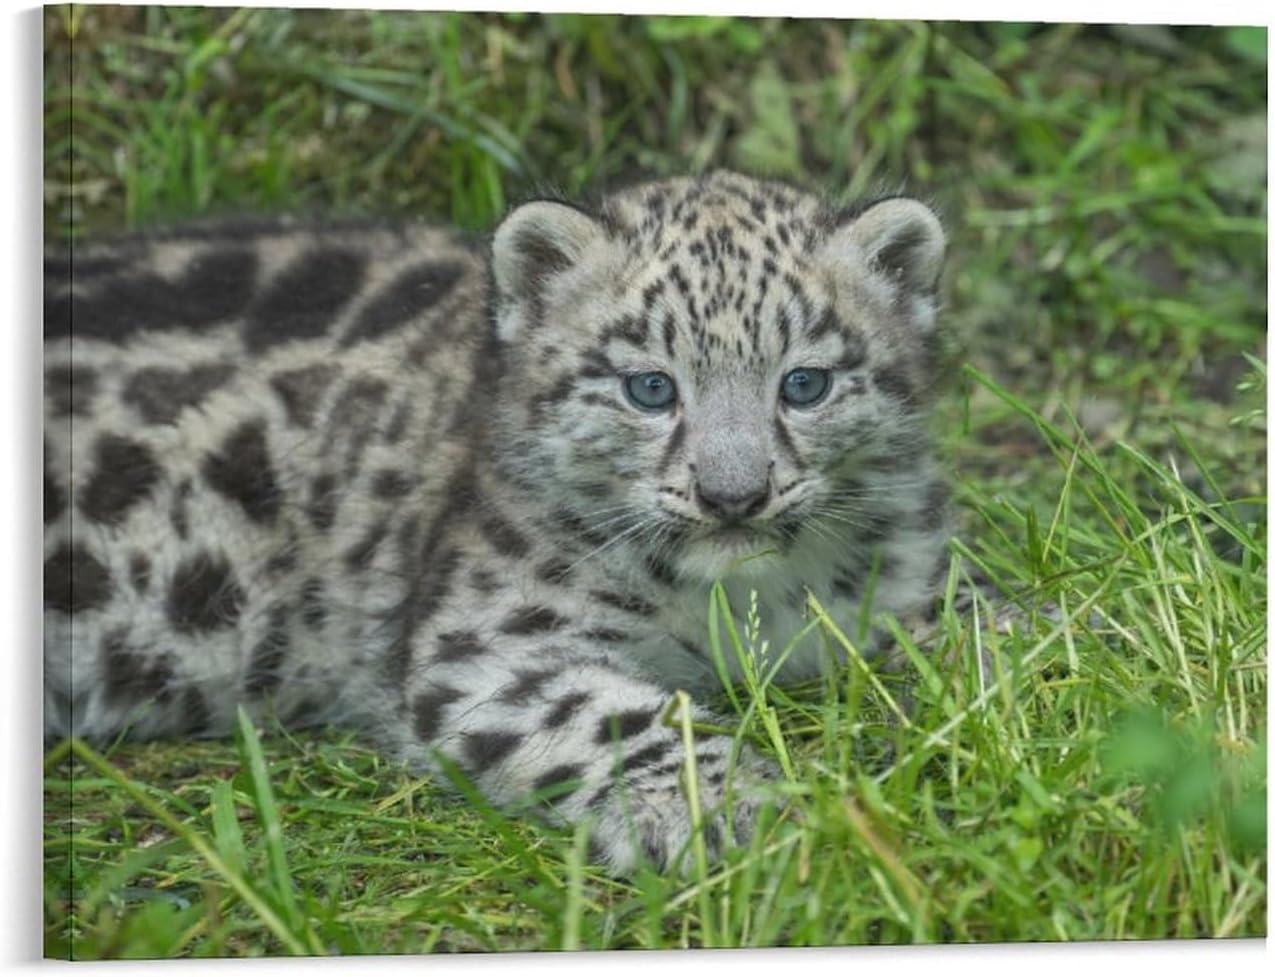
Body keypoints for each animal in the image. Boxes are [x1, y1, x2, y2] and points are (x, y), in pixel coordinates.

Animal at [44, 170, 952, 875]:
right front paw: (737, 809)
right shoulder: (492, 640)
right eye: (649, 388)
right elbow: (610, 719)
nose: (733, 496)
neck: (745, 602)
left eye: (803, 384)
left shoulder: (912, 574)